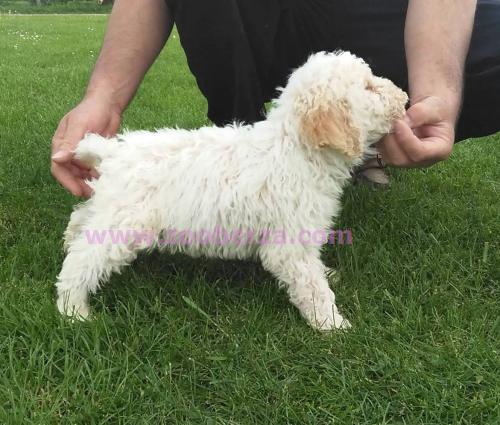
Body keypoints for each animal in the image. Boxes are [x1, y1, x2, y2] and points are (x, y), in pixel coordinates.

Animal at [56, 51, 408, 330]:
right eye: (368, 87)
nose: (404, 97)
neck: (294, 145)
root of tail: (112, 151)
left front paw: (328, 279)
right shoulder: (289, 244)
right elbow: (311, 286)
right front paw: (334, 325)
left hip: (109, 211)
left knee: (79, 219)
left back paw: (68, 243)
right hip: (121, 227)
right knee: (81, 263)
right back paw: (74, 311)